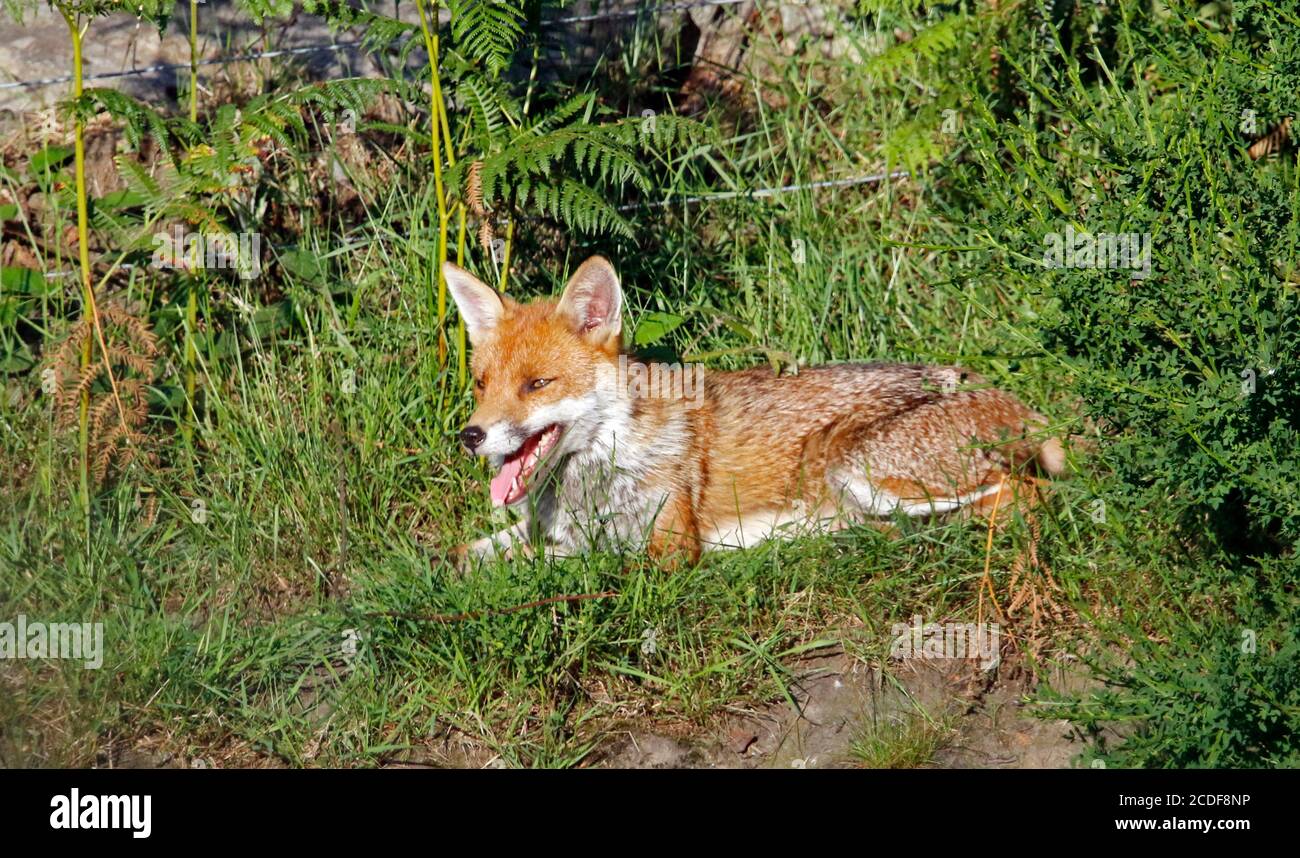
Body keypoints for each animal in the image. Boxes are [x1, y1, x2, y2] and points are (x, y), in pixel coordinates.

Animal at [445, 255, 1064, 568]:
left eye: (537, 384)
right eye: (482, 384)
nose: (471, 436)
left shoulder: (665, 550)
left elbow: (550, 567)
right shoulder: (544, 528)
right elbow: (462, 554)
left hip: (858, 467)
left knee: (1025, 495)